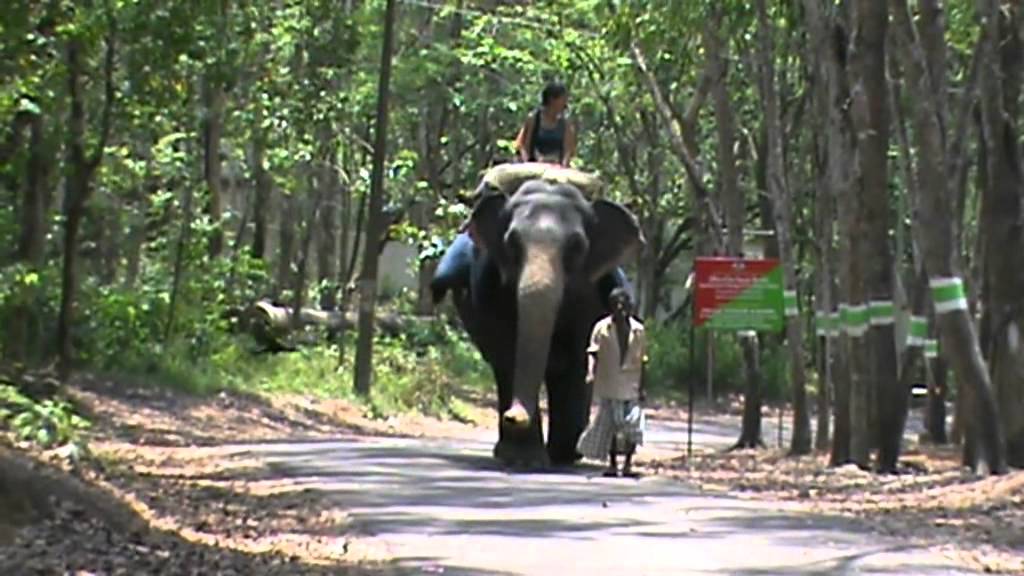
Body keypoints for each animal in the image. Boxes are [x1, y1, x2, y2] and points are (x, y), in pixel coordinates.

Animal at [431, 173, 644, 469]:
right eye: (511, 243)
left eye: (577, 247)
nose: (514, 416)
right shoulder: (490, 287)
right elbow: (508, 352)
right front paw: (526, 458)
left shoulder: (590, 293)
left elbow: (579, 359)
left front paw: (562, 456)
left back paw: (565, 453)